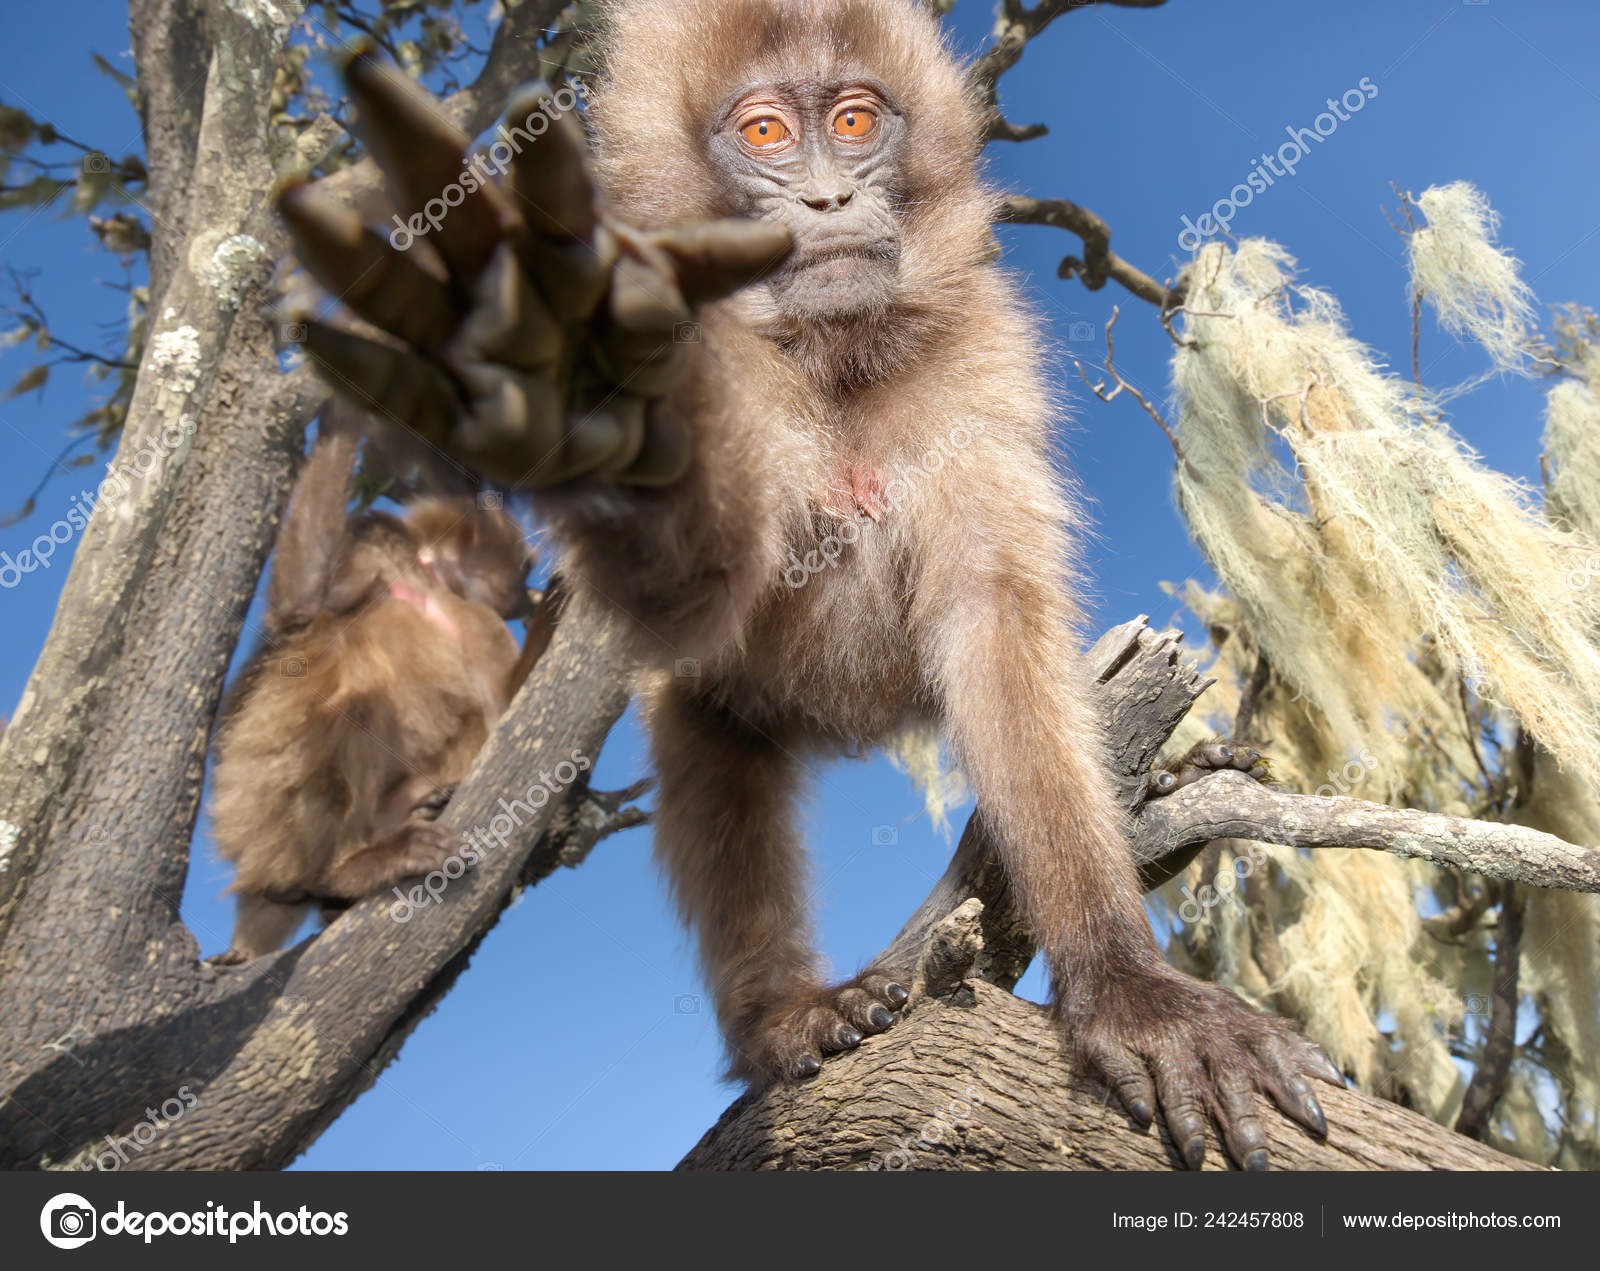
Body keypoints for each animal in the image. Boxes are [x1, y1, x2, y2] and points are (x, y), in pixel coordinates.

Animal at [207, 422, 537, 964]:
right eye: (521, 570)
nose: (523, 597)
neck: (424, 578)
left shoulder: (478, 619)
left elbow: (500, 718)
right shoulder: (371, 543)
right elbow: (301, 609)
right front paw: (339, 420)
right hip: (259, 813)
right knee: (344, 685)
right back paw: (339, 873)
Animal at [277, 0, 1341, 1168]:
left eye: (854, 119)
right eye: (766, 135)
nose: (829, 199)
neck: (833, 357)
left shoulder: (979, 349)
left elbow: (991, 618)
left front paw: (1121, 978)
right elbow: (692, 609)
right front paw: (570, 392)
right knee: (710, 740)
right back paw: (780, 1016)